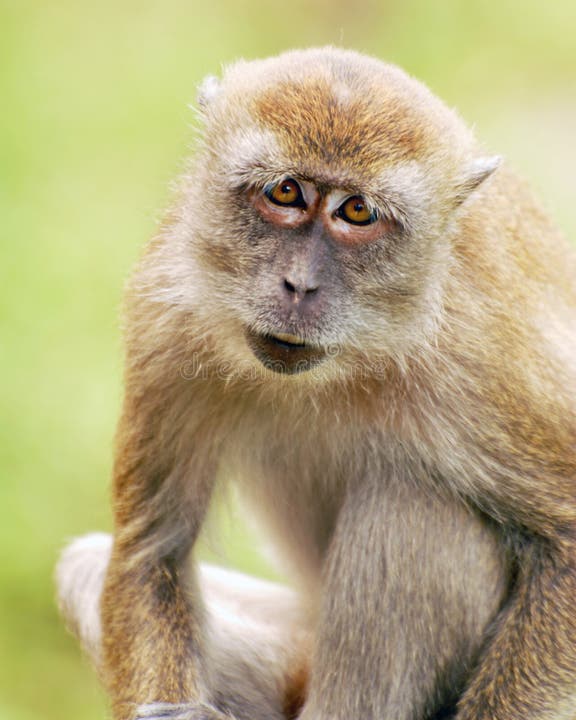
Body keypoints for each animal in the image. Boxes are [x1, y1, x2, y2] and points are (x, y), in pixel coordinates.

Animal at [57, 47, 576, 720]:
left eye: (357, 211)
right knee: (84, 566)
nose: (299, 285)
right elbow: (152, 552)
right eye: (286, 192)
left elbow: (566, 541)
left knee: (415, 504)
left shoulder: (484, 355)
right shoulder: (166, 314)